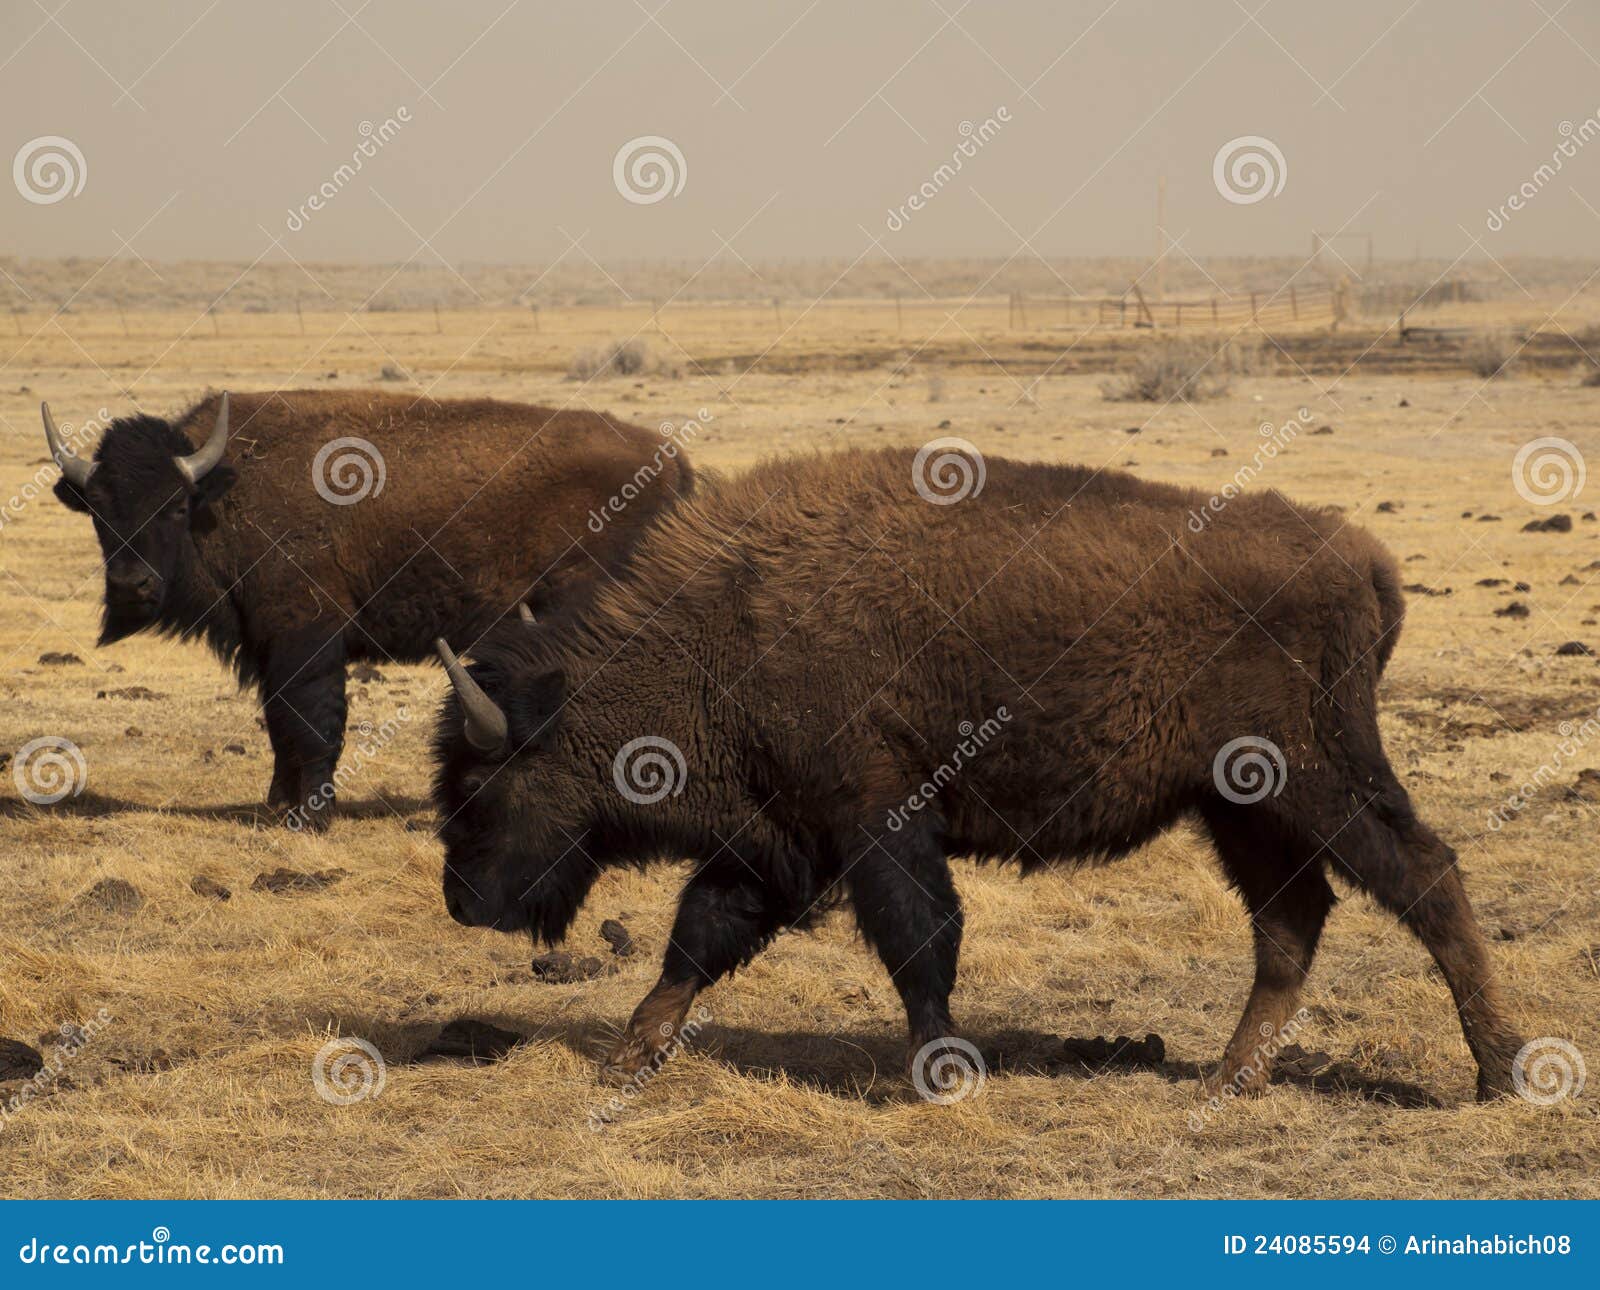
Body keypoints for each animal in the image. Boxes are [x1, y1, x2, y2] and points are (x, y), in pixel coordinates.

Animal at [46, 389, 691, 827]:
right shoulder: (266, 647)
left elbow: (313, 724)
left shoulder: (307, 639)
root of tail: (670, 461)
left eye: (174, 506)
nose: (131, 585)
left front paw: (309, 816)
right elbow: (279, 725)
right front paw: (278, 803)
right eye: (99, 509)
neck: (226, 493)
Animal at [431, 445, 1525, 1102]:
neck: (725, 626)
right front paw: (629, 1057)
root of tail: (1363, 558)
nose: (462, 902)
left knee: (1423, 878)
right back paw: (1229, 1078)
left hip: (1314, 783)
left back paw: (1498, 1074)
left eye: (483, 788)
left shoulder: (872, 819)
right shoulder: (782, 836)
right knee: (1290, 921)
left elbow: (919, 937)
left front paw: (942, 1073)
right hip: (1239, 808)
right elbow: (698, 938)